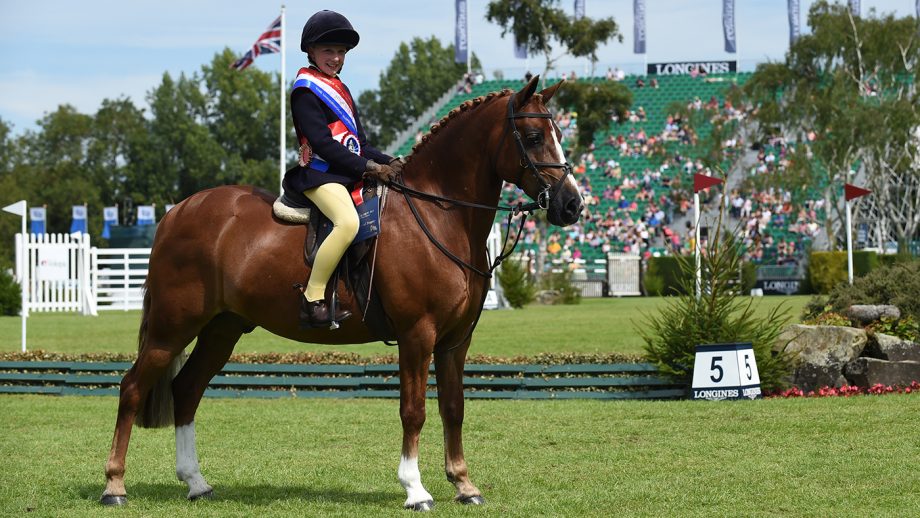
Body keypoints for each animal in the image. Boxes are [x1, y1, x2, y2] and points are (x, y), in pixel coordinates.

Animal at [100, 75, 583, 511]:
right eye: (534, 137)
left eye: (561, 135)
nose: (573, 204)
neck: (437, 212)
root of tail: (179, 210)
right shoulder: (417, 335)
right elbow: (414, 409)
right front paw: (415, 489)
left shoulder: (455, 340)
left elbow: (453, 407)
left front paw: (464, 486)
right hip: (171, 327)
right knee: (132, 389)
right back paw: (114, 486)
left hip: (222, 329)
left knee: (186, 390)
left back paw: (196, 483)